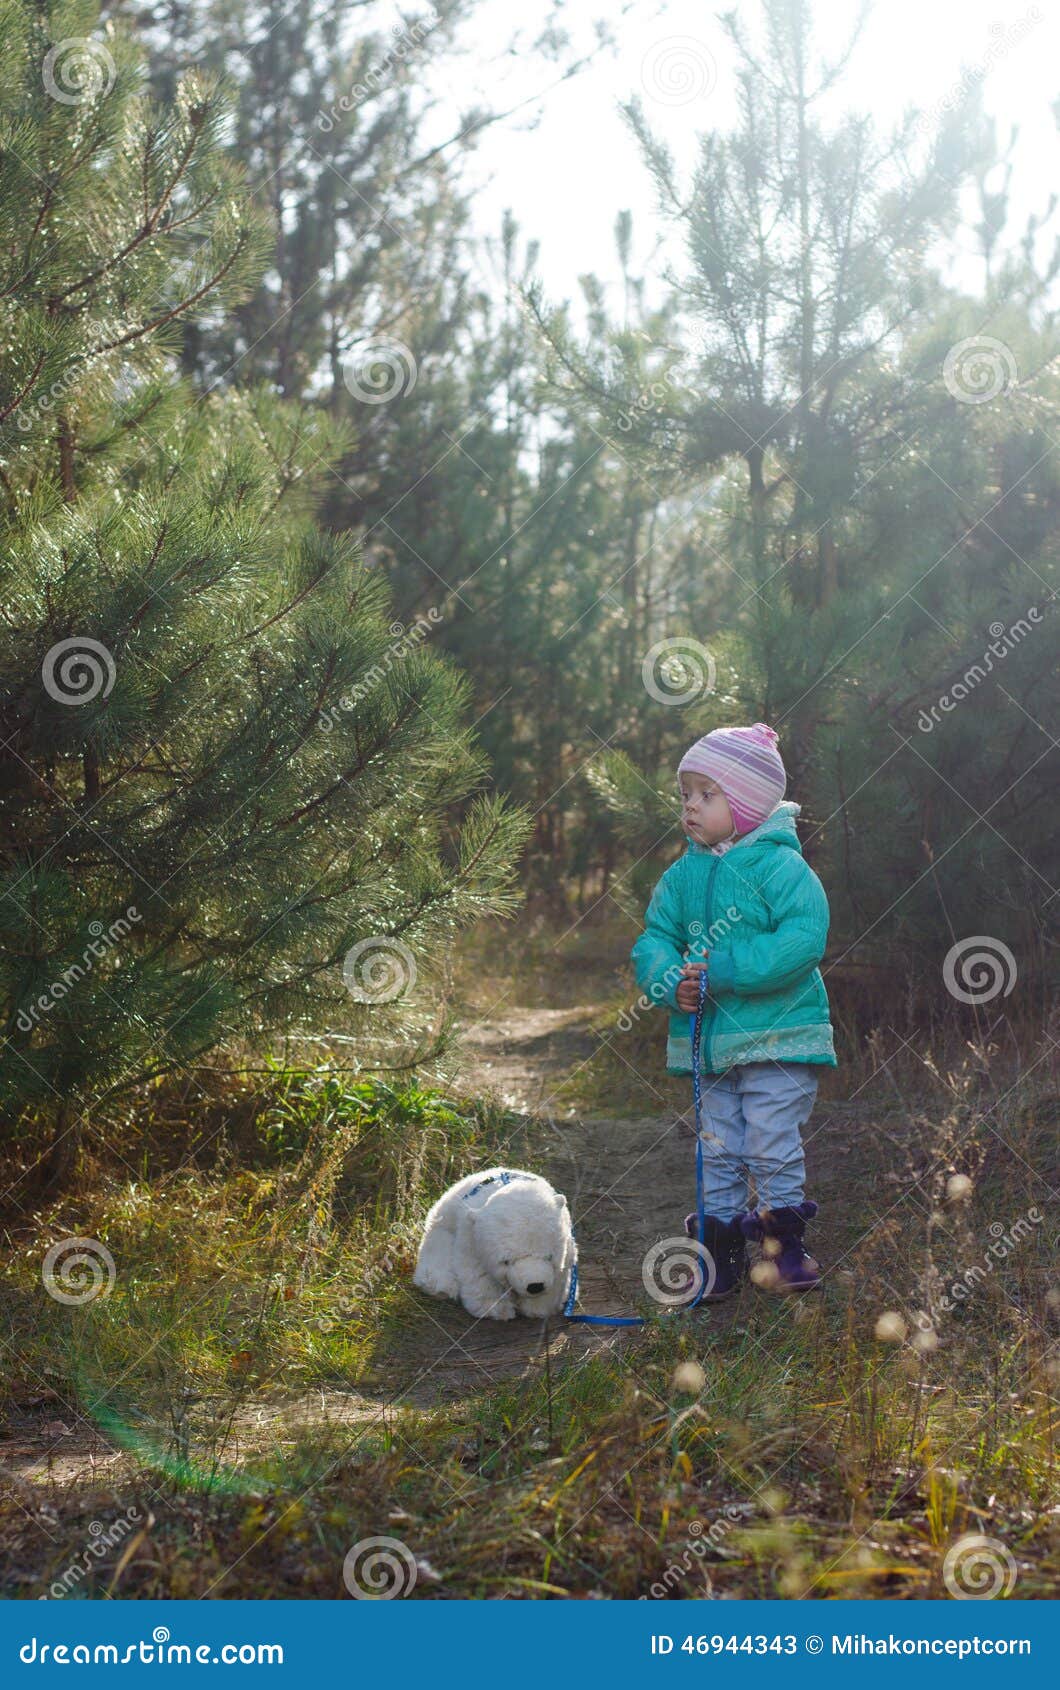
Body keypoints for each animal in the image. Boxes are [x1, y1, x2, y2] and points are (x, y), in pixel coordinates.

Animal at [413, 1167, 576, 1321]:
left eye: (549, 1257)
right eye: (505, 1261)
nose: (535, 1286)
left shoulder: (567, 1246)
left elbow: (559, 1277)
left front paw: (538, 1308)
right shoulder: (471, 1236)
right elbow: (479, 1272)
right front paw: (495, 1309)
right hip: (442, 1226)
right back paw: (440, 1286)